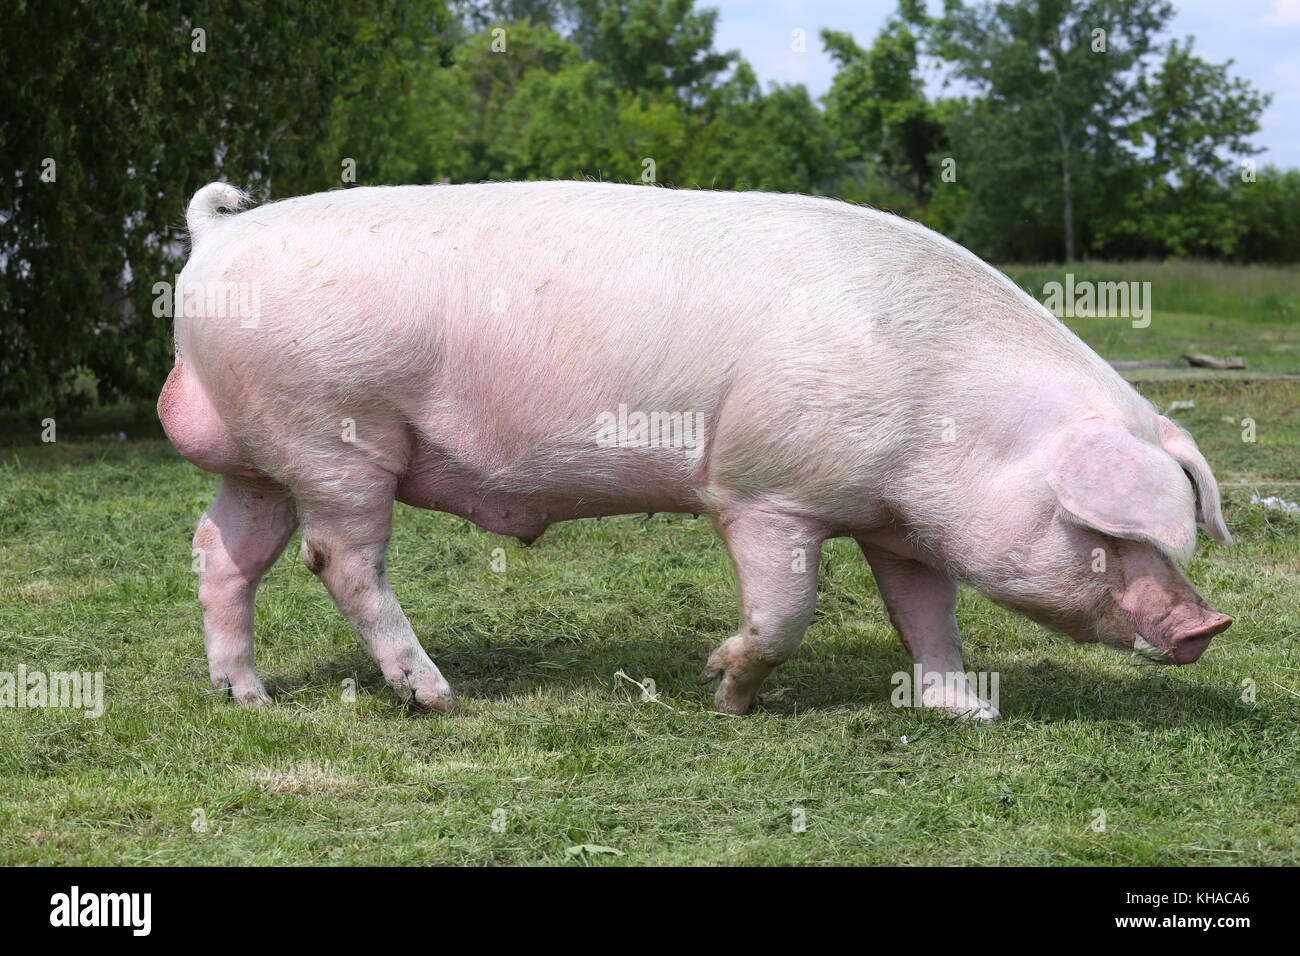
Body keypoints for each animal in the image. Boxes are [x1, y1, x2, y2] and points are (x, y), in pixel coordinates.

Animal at [158, 180, 1233, 720]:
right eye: (1106, 534)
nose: (1207, 624)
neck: (950, 417)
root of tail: (215, 240)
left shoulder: (899, 520)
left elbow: (928, 612)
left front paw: (966, 709)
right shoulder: (765, 490)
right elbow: (784, 611)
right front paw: (721, 690)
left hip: (257, 453)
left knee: (224, 552)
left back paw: (248, 698)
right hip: (334, 432)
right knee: (340, 558)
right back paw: (436, 696)